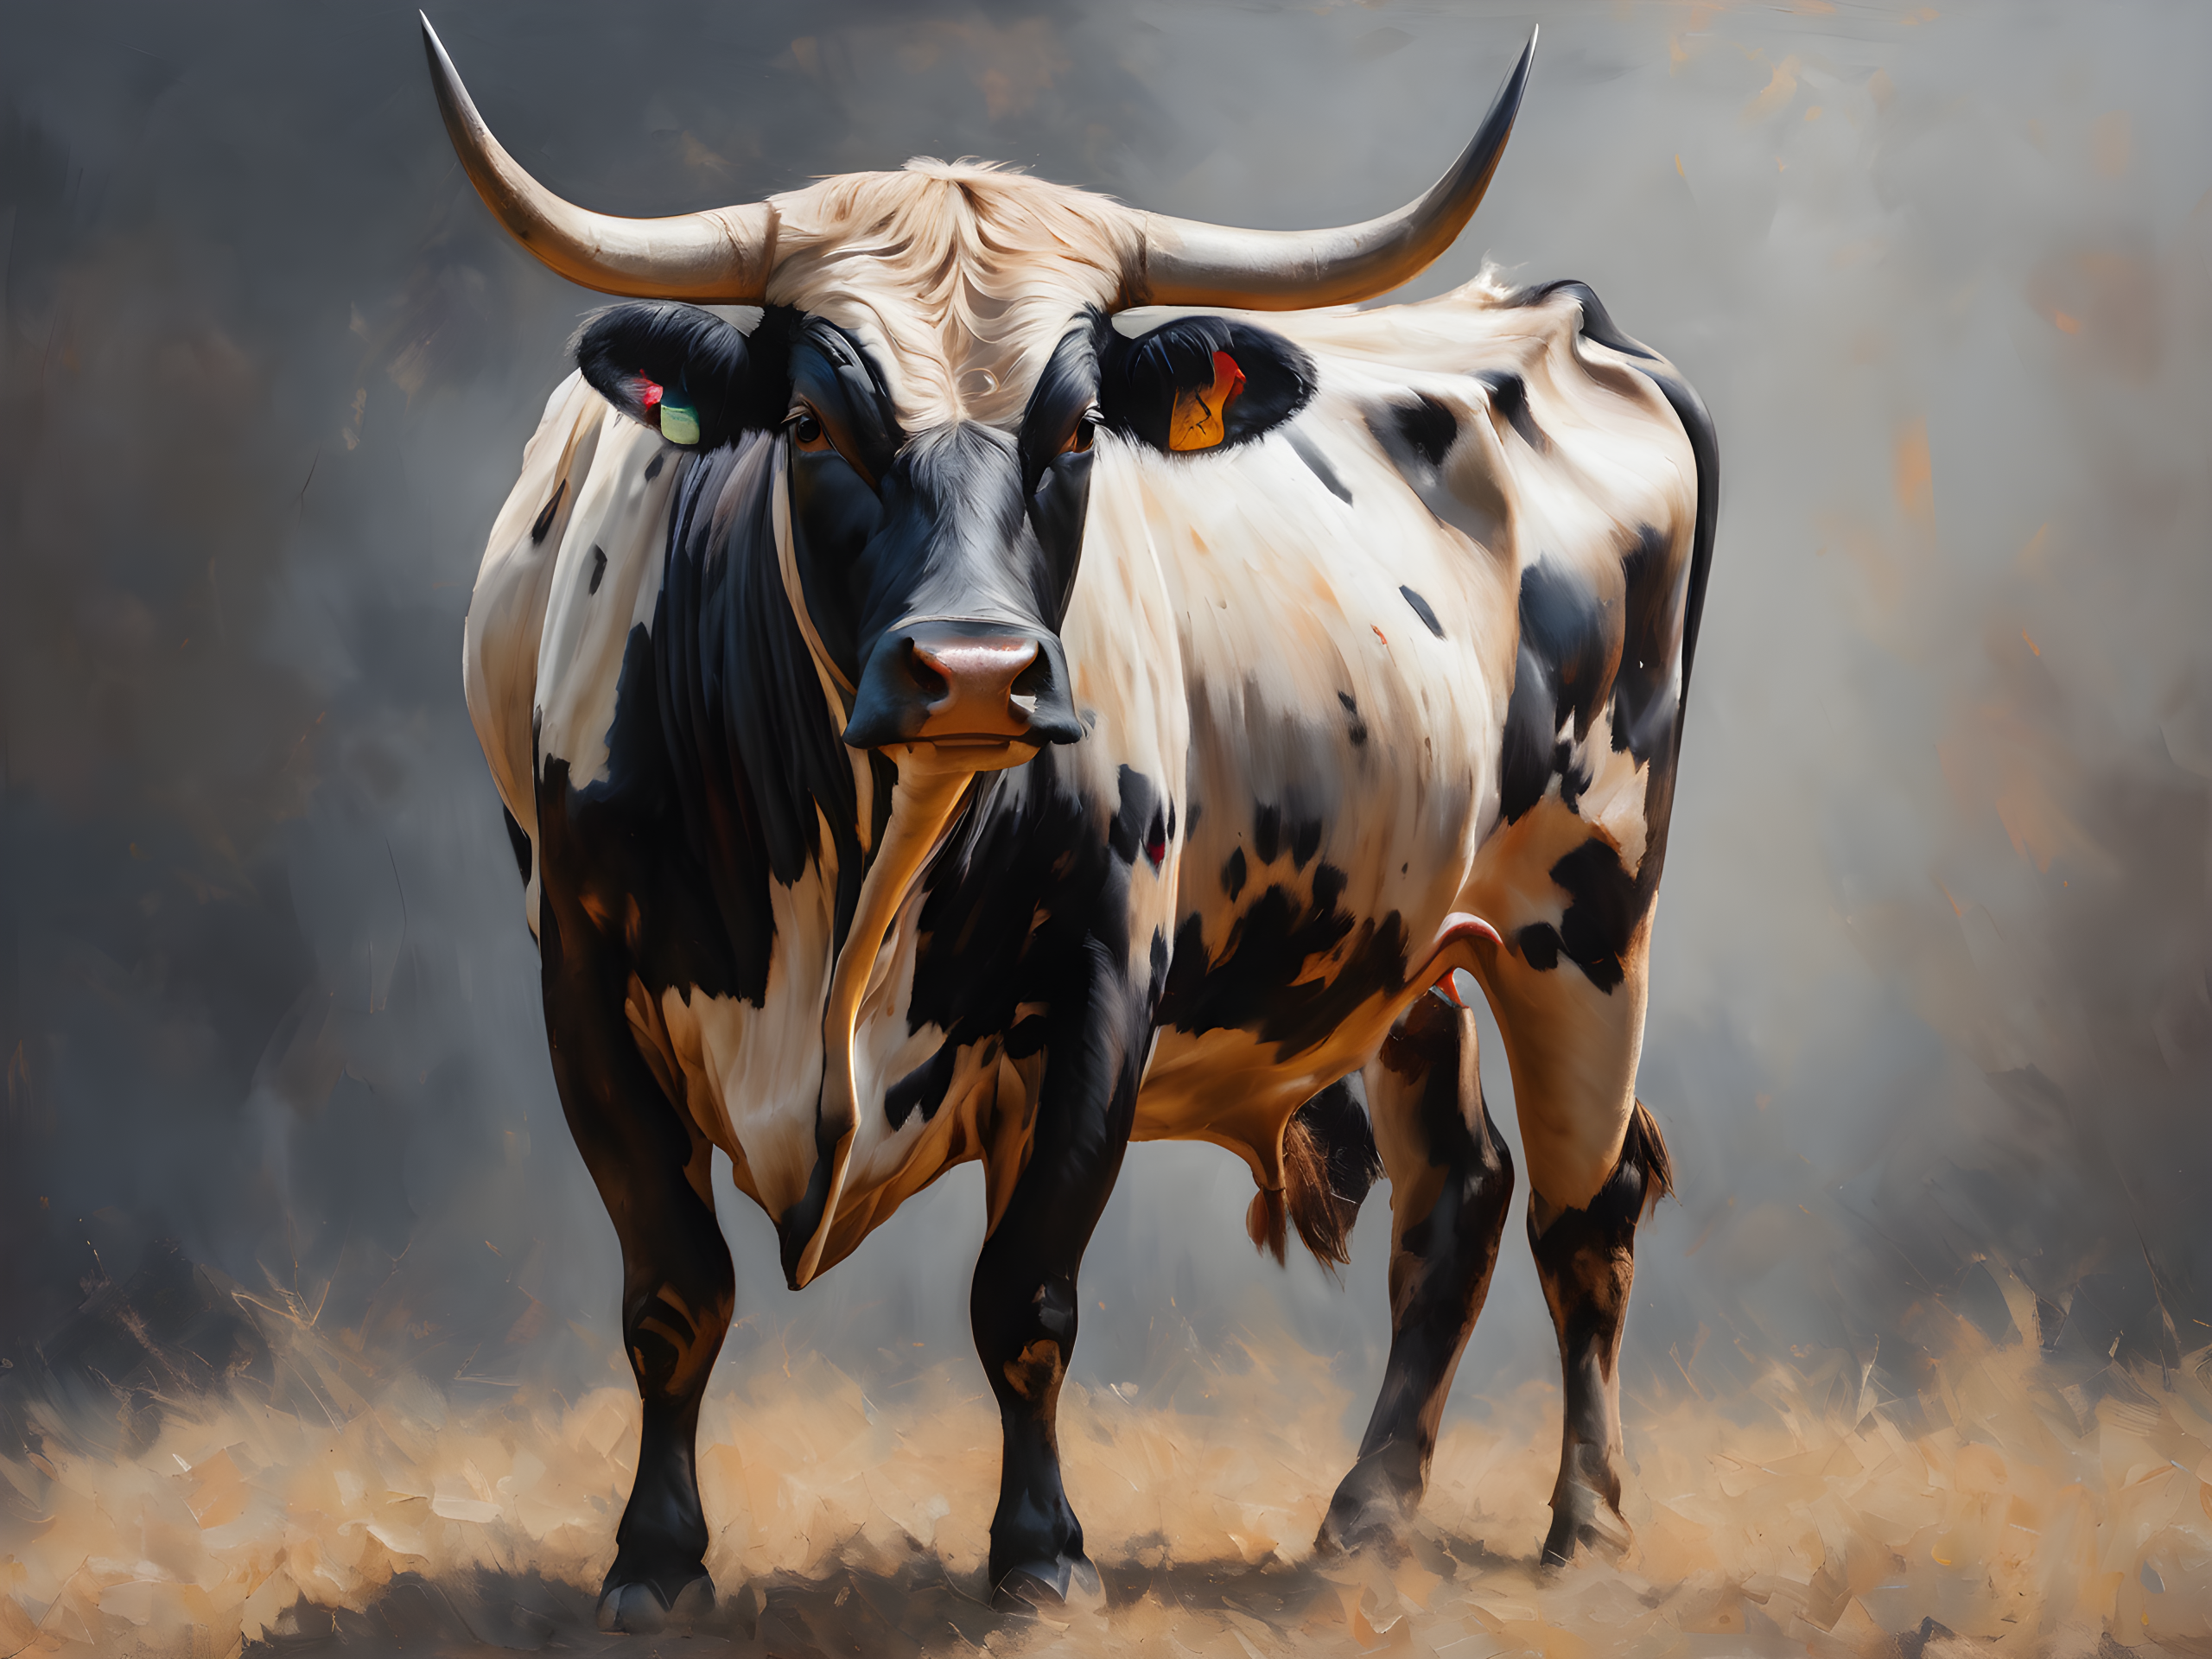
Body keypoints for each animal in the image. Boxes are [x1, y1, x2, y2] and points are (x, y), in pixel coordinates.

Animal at [429, 15, 1715, 1633]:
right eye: (810, 423)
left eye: (1081, 425)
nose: (978, 666)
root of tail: (1552, 315)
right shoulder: (585, 984)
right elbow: (673, 1290)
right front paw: (655, 1562)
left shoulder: (1106, 979)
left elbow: (1026, 1292)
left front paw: (1041, 1553)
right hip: (1397, 940)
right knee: (1460, 1192)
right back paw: (1366, 1512)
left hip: (1592, 916)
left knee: (1586, 1204)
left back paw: (1586, 1522)